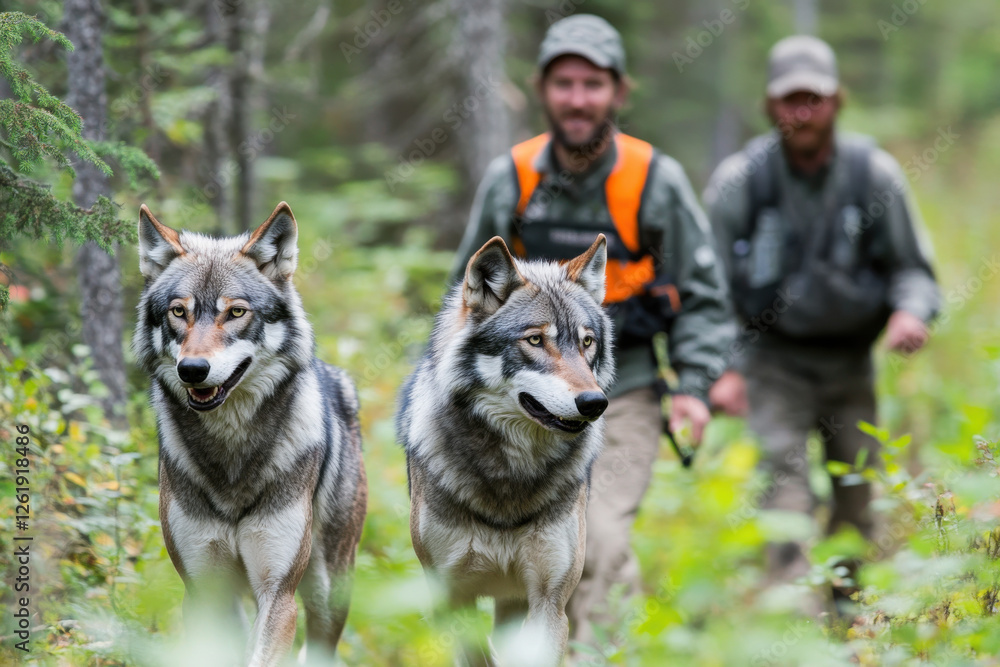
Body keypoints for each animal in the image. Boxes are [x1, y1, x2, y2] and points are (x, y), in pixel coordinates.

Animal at [134, 202, 367, 666]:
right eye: (178, 312)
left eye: (236, 312)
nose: (193, 369)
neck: (231, 455)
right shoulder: (202, 592)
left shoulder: (278, 593)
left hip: (326, 593)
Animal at [397, 235, 615, 666]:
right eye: (535, 339)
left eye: (587, 342)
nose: (594, 403)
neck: (510, 475)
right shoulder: (453, 600)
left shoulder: (549, 600)